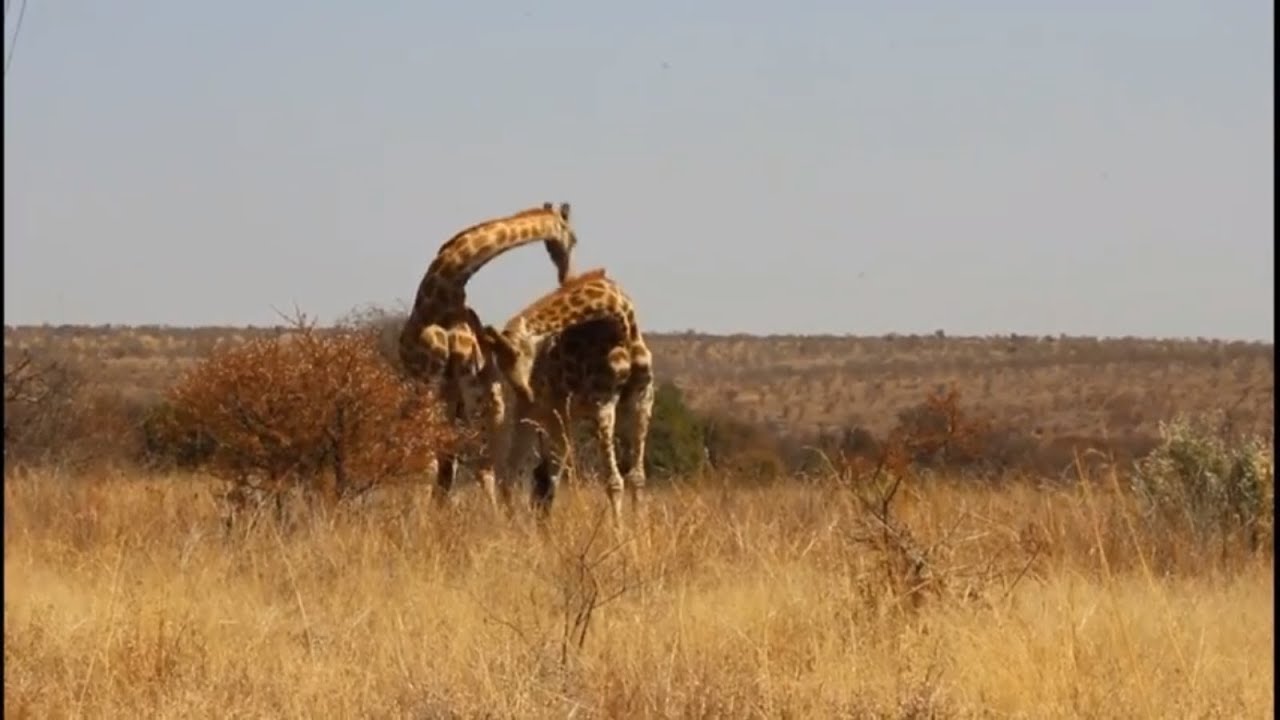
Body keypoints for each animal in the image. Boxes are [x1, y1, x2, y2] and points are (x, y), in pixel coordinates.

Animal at [398, 202, 578, 509]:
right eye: (573, 239)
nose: (568, 275)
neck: (443, 292)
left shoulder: (472, 381)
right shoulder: (435, 375)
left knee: (465, 462)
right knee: (442, 459)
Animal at [481, 269, 655, 523]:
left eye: (516, 354)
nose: (528, 392)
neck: (622, 325)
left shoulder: (643, 399)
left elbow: (637, 477)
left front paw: (640, 530)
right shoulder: (603, 402)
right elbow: (614, 482)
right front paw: (619, 533)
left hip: (559, 417)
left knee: (544, 480)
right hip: (535, 416)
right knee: (512, 474)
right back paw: (515, 527)